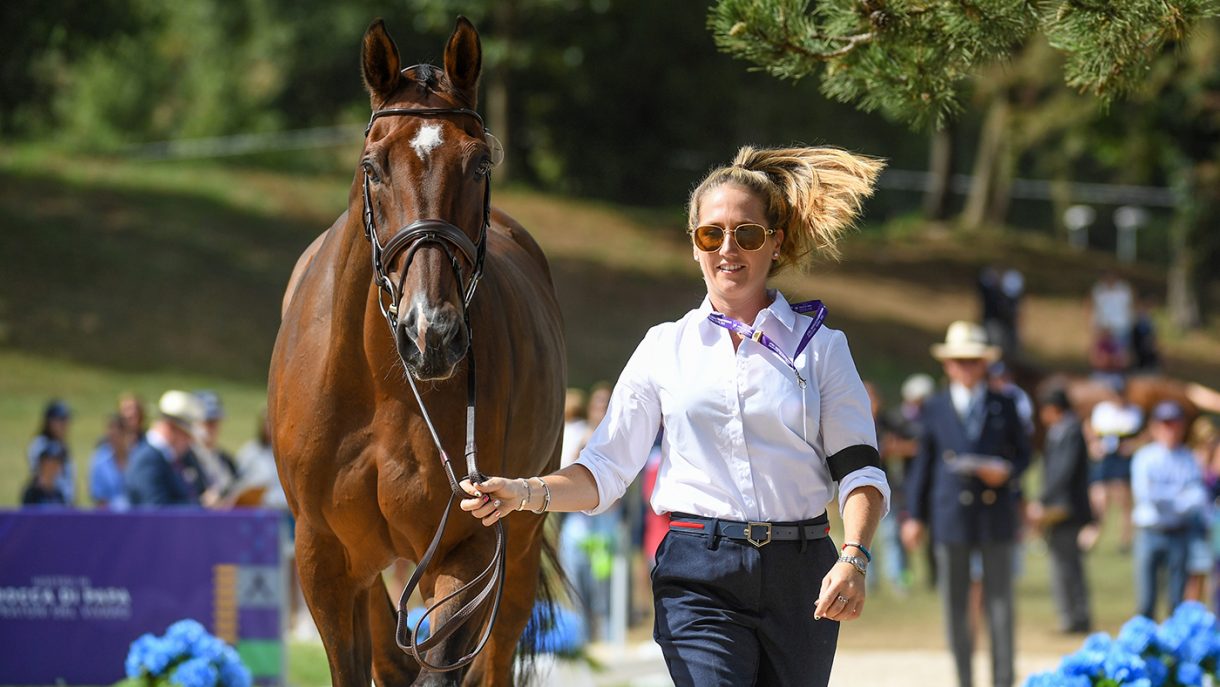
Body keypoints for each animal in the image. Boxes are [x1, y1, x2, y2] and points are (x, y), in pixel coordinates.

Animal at [269, 17, 565, 686]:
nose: (431, 333)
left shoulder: (469, 547)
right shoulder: (324, 558)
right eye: (372, 165)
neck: (381, 385)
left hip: (518, 547)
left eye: (479, 163)